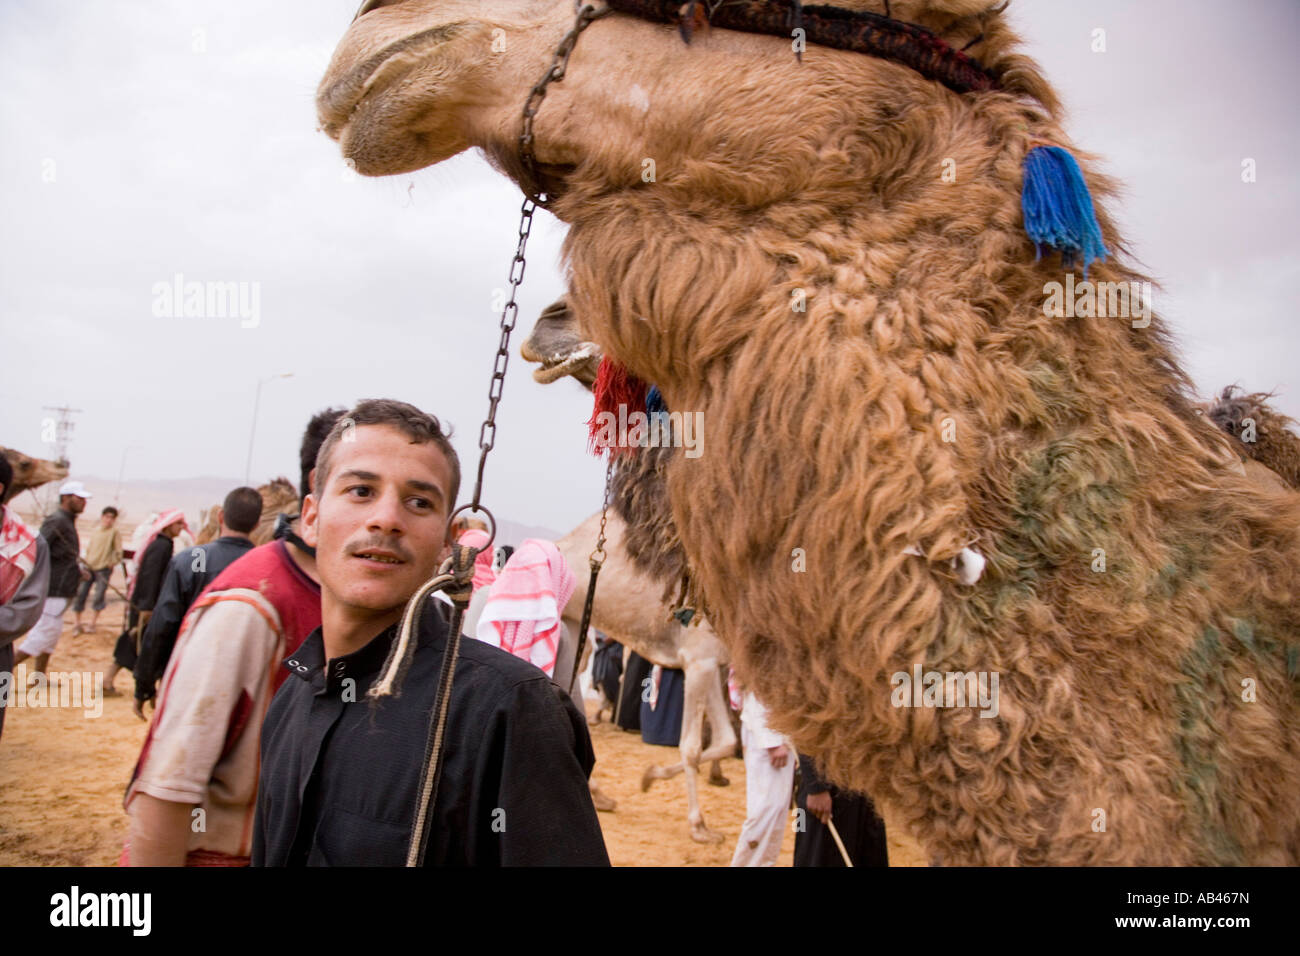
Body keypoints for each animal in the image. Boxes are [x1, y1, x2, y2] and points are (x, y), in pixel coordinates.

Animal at [557, 510, 736, 843]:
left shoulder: (712, 663)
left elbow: (726, 740)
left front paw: (650, 776)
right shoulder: (698, 660)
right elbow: (691, 747)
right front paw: (698, 825)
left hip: (573, 625)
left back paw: (599, 794)